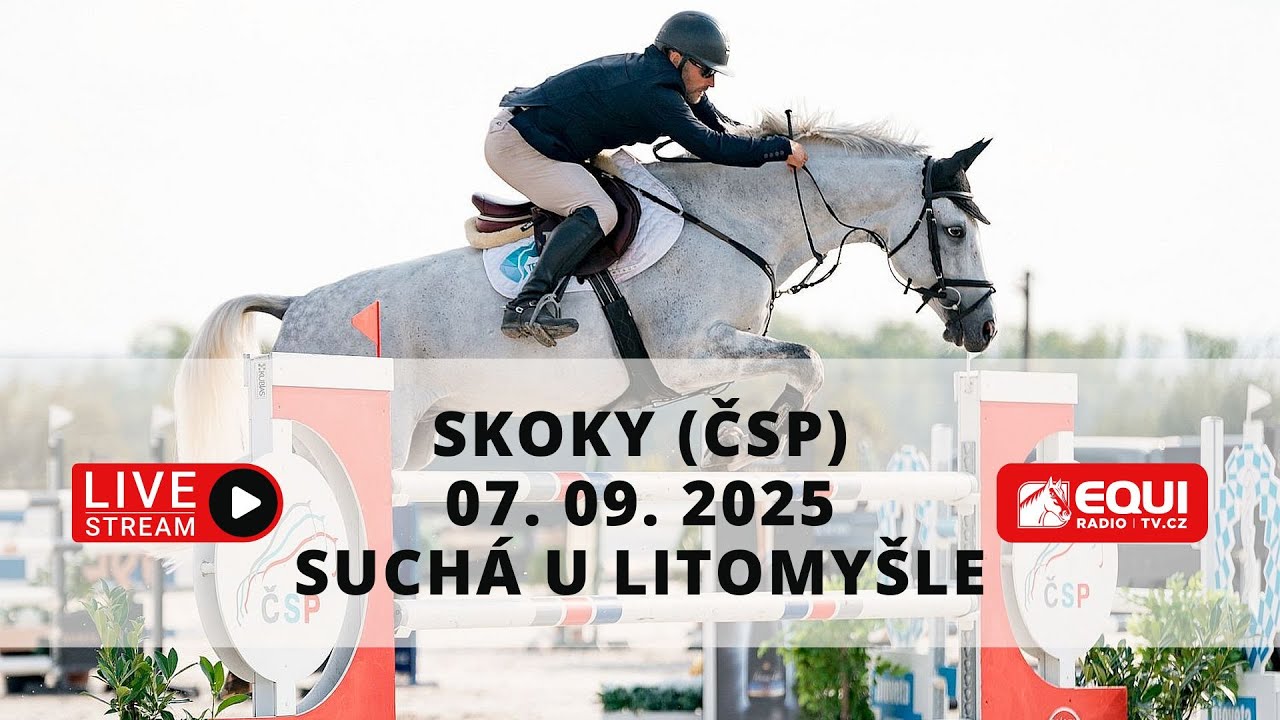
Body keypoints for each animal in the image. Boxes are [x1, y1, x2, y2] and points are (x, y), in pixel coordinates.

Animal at [175, 111, 998, 470]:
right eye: (955, 229)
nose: (984, 329)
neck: (737, 218)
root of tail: (295, 307)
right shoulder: (687, 355)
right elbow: (807, 360)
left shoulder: (714, 357)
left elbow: (784, 365)